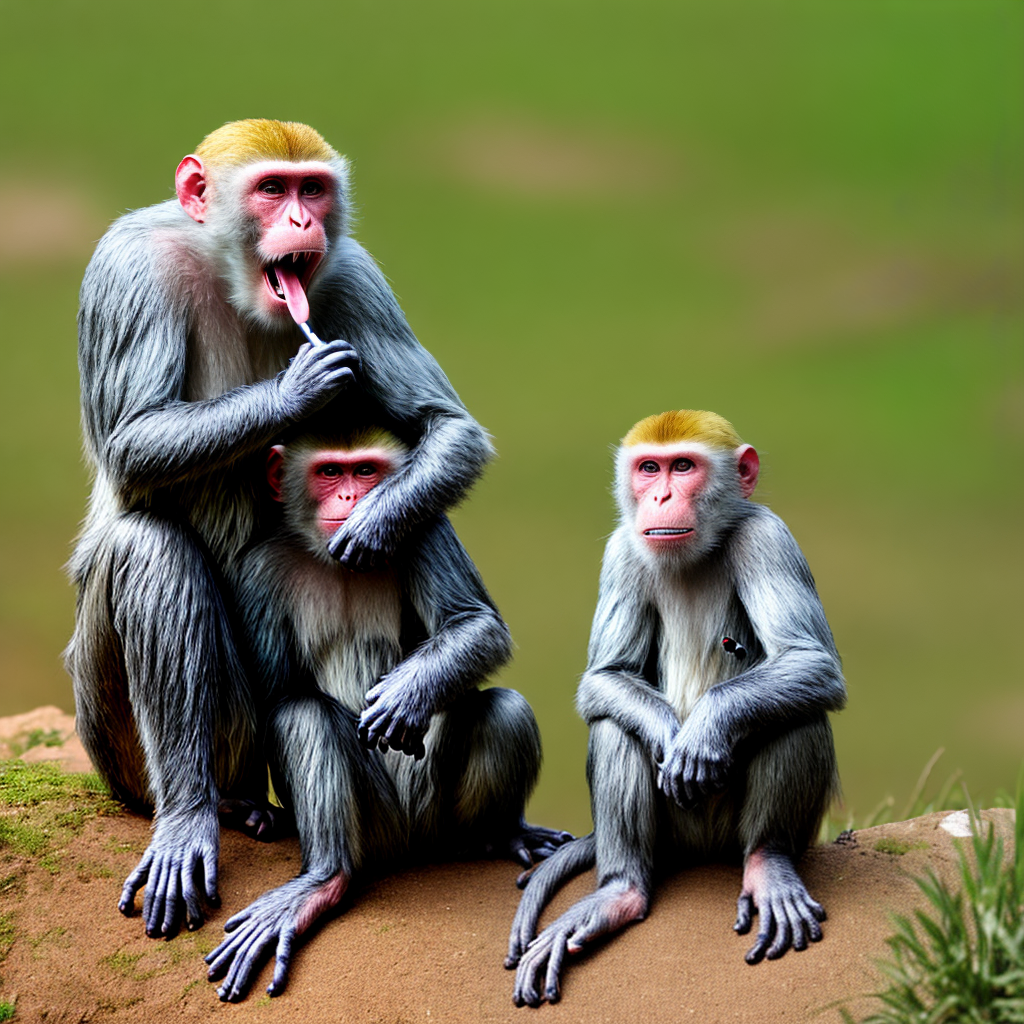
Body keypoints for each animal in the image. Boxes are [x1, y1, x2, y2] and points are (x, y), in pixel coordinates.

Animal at [64, 119, 494, 940]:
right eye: (272, 189)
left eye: (312, 190)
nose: (302, 221)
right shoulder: (130, 269)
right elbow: (131, 441)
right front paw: (297, 391)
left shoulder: (353, 274)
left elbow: (448, 427)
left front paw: (378, 520)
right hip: (110, 733)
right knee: (148, 548)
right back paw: (199, 812)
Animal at [204, 421, 571, 1001]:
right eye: (331, 471)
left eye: (366, 471)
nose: (352, 500)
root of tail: (409, 846)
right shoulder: (258, 570)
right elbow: (277, 694)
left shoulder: (422, 525)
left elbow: (476, 623)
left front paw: (407, 694)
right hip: (376, 824)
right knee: (303, 714)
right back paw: (323, 880)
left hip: (438, 821)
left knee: (503, 708)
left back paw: (500, 832)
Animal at [505, 410, 846, 1007]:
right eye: (649, 469)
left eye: (683, 467)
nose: (661, 496)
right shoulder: (622, 549)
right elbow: (605, 679)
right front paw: (671, 734)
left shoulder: (770, 536)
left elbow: (812, 661)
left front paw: (703, 729)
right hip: (673, 834)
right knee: (615, 725)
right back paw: (620, 893)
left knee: (798, 709)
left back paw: (768, 865)